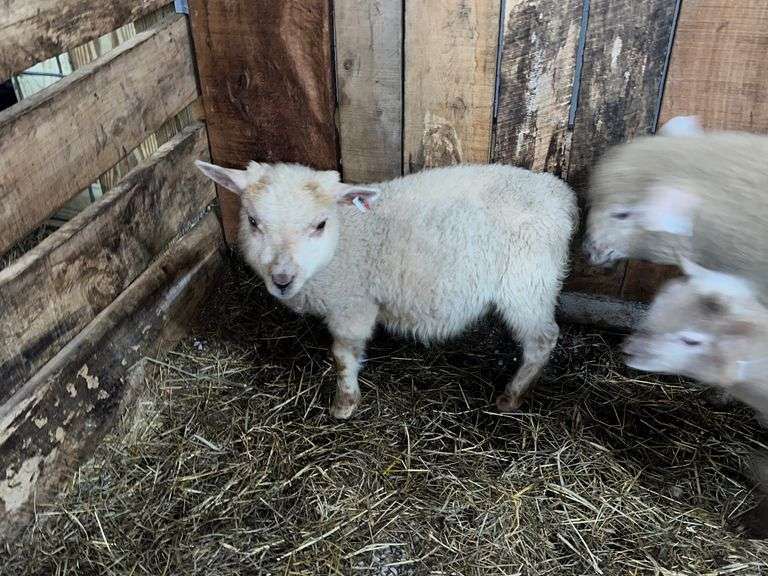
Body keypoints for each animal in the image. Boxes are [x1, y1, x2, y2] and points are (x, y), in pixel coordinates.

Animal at [195, 161, 578, 418]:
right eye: (253, 222)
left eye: (320, 225)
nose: (282, 279)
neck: (346, 237)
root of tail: (559, 194)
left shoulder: (353, 305)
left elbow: (342, 355)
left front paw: (345, 403)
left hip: (527, 285)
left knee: (543, 339)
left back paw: (512, 396)